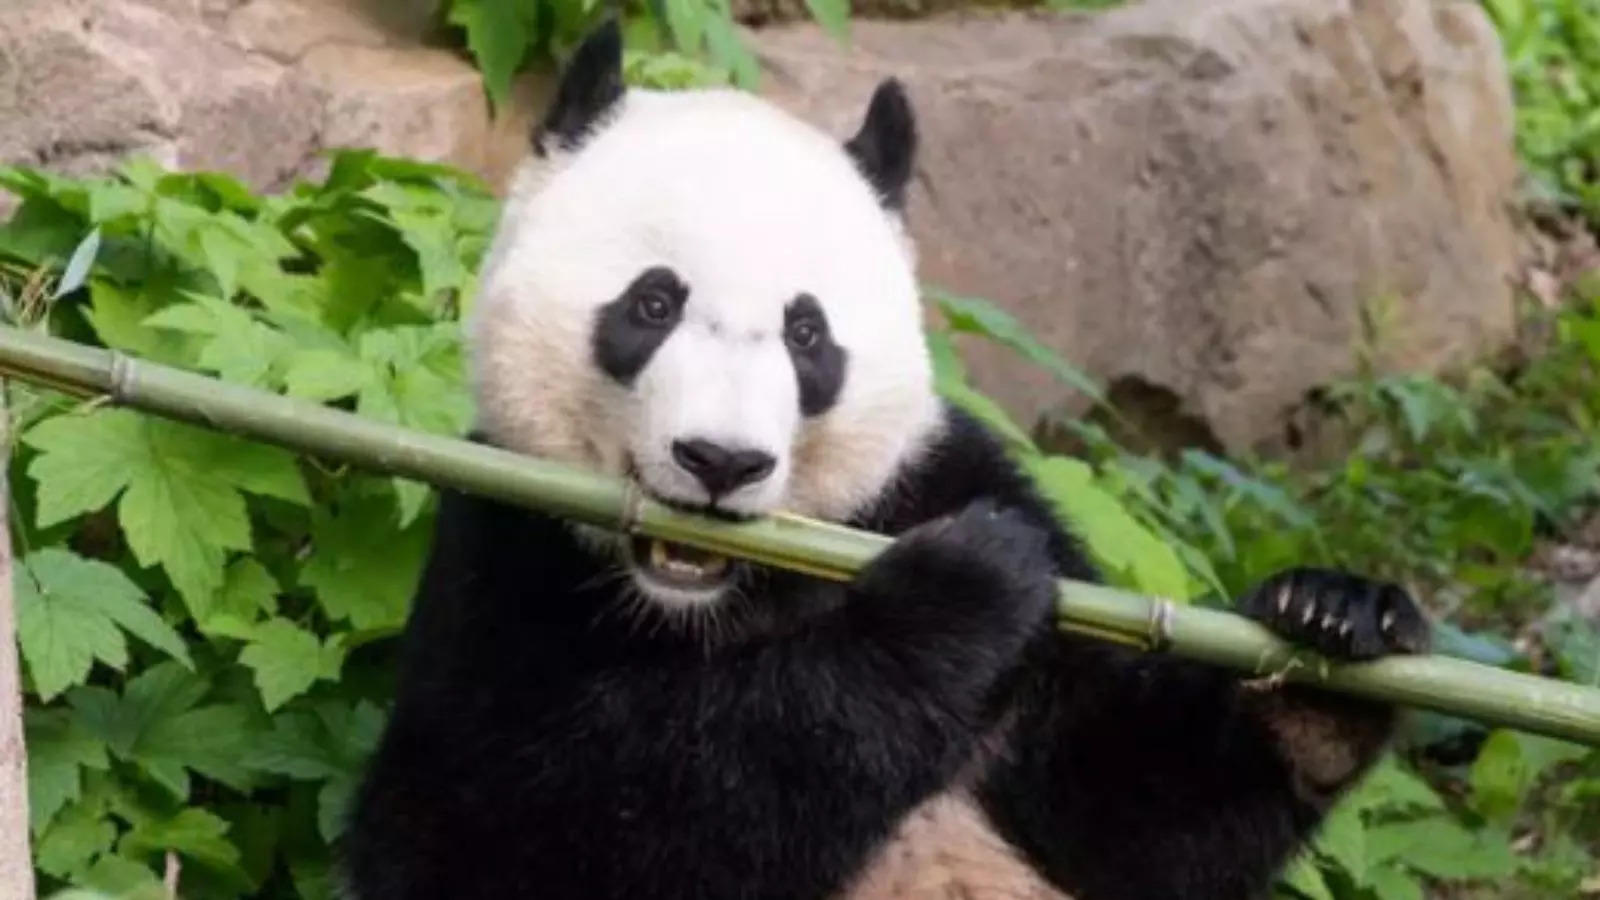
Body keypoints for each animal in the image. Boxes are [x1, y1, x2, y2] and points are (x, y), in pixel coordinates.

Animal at [342, 19, 1430, 900]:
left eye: (807, 335)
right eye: (651, 304)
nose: (720, 461)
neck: (729, 596)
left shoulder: (942, 477)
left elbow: (1130, 809)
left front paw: (1330, 634)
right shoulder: (502, 554)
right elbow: (510, 834)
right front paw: (960, 592)